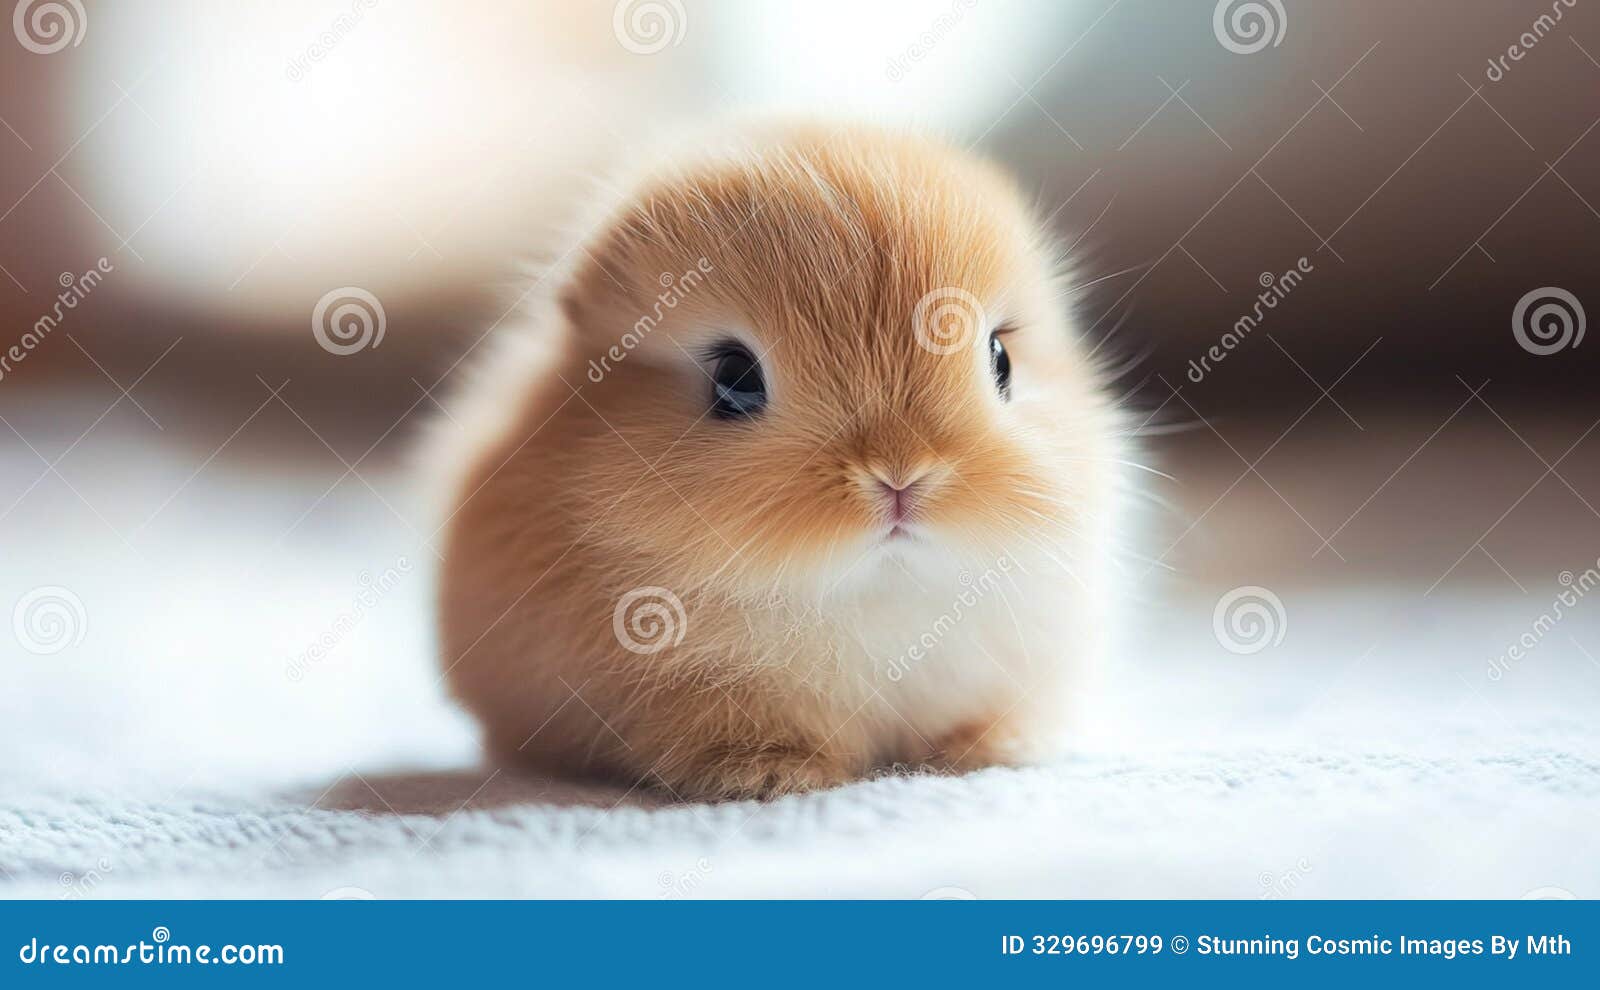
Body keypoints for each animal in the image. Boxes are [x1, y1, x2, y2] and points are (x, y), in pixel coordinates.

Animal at [434, 121, 1131, 802]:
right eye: (735, 379)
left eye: (1001, 360)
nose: (900, 475)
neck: (871, 591)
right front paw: (770, 775)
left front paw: (985, 752)